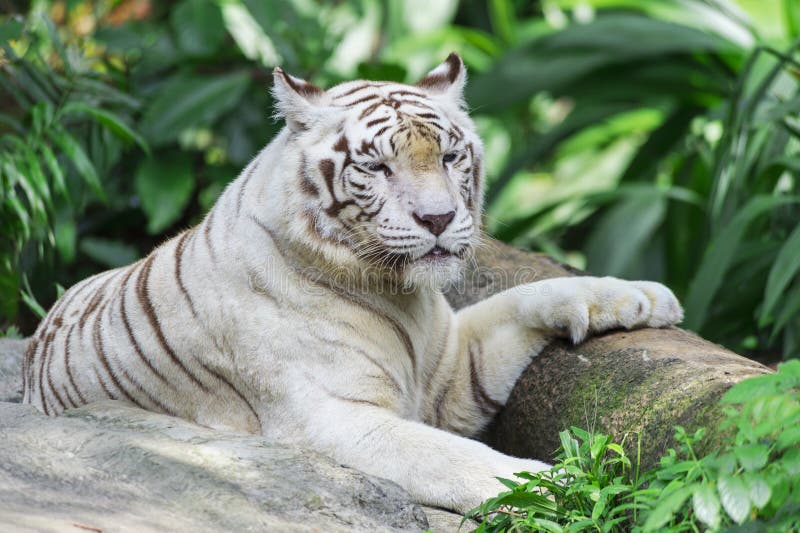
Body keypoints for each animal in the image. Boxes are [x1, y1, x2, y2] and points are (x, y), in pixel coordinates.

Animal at [23, 53, 683, 513]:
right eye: (376, 166)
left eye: (449, 157)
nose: (439, 218)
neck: (399, 294)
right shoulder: (333, 418)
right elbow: (454, 457)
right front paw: (568, 483)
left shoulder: (449, 373)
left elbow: (524, 297)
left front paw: (642, 297)